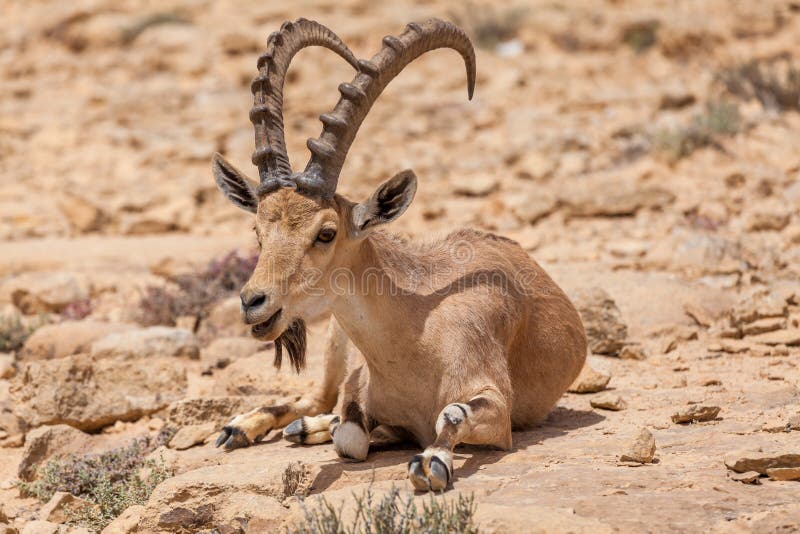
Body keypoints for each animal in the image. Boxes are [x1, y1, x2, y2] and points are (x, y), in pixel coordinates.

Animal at [212, 18, 587, 491]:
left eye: (326, 233)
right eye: (258, 231)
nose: (253, 302)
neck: (414, 341)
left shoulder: (497, 406)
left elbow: (449, 415)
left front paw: (430, 463)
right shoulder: (358, 382)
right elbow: (350, 433)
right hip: (334, 338)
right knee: (315, 397)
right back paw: (244, 426)